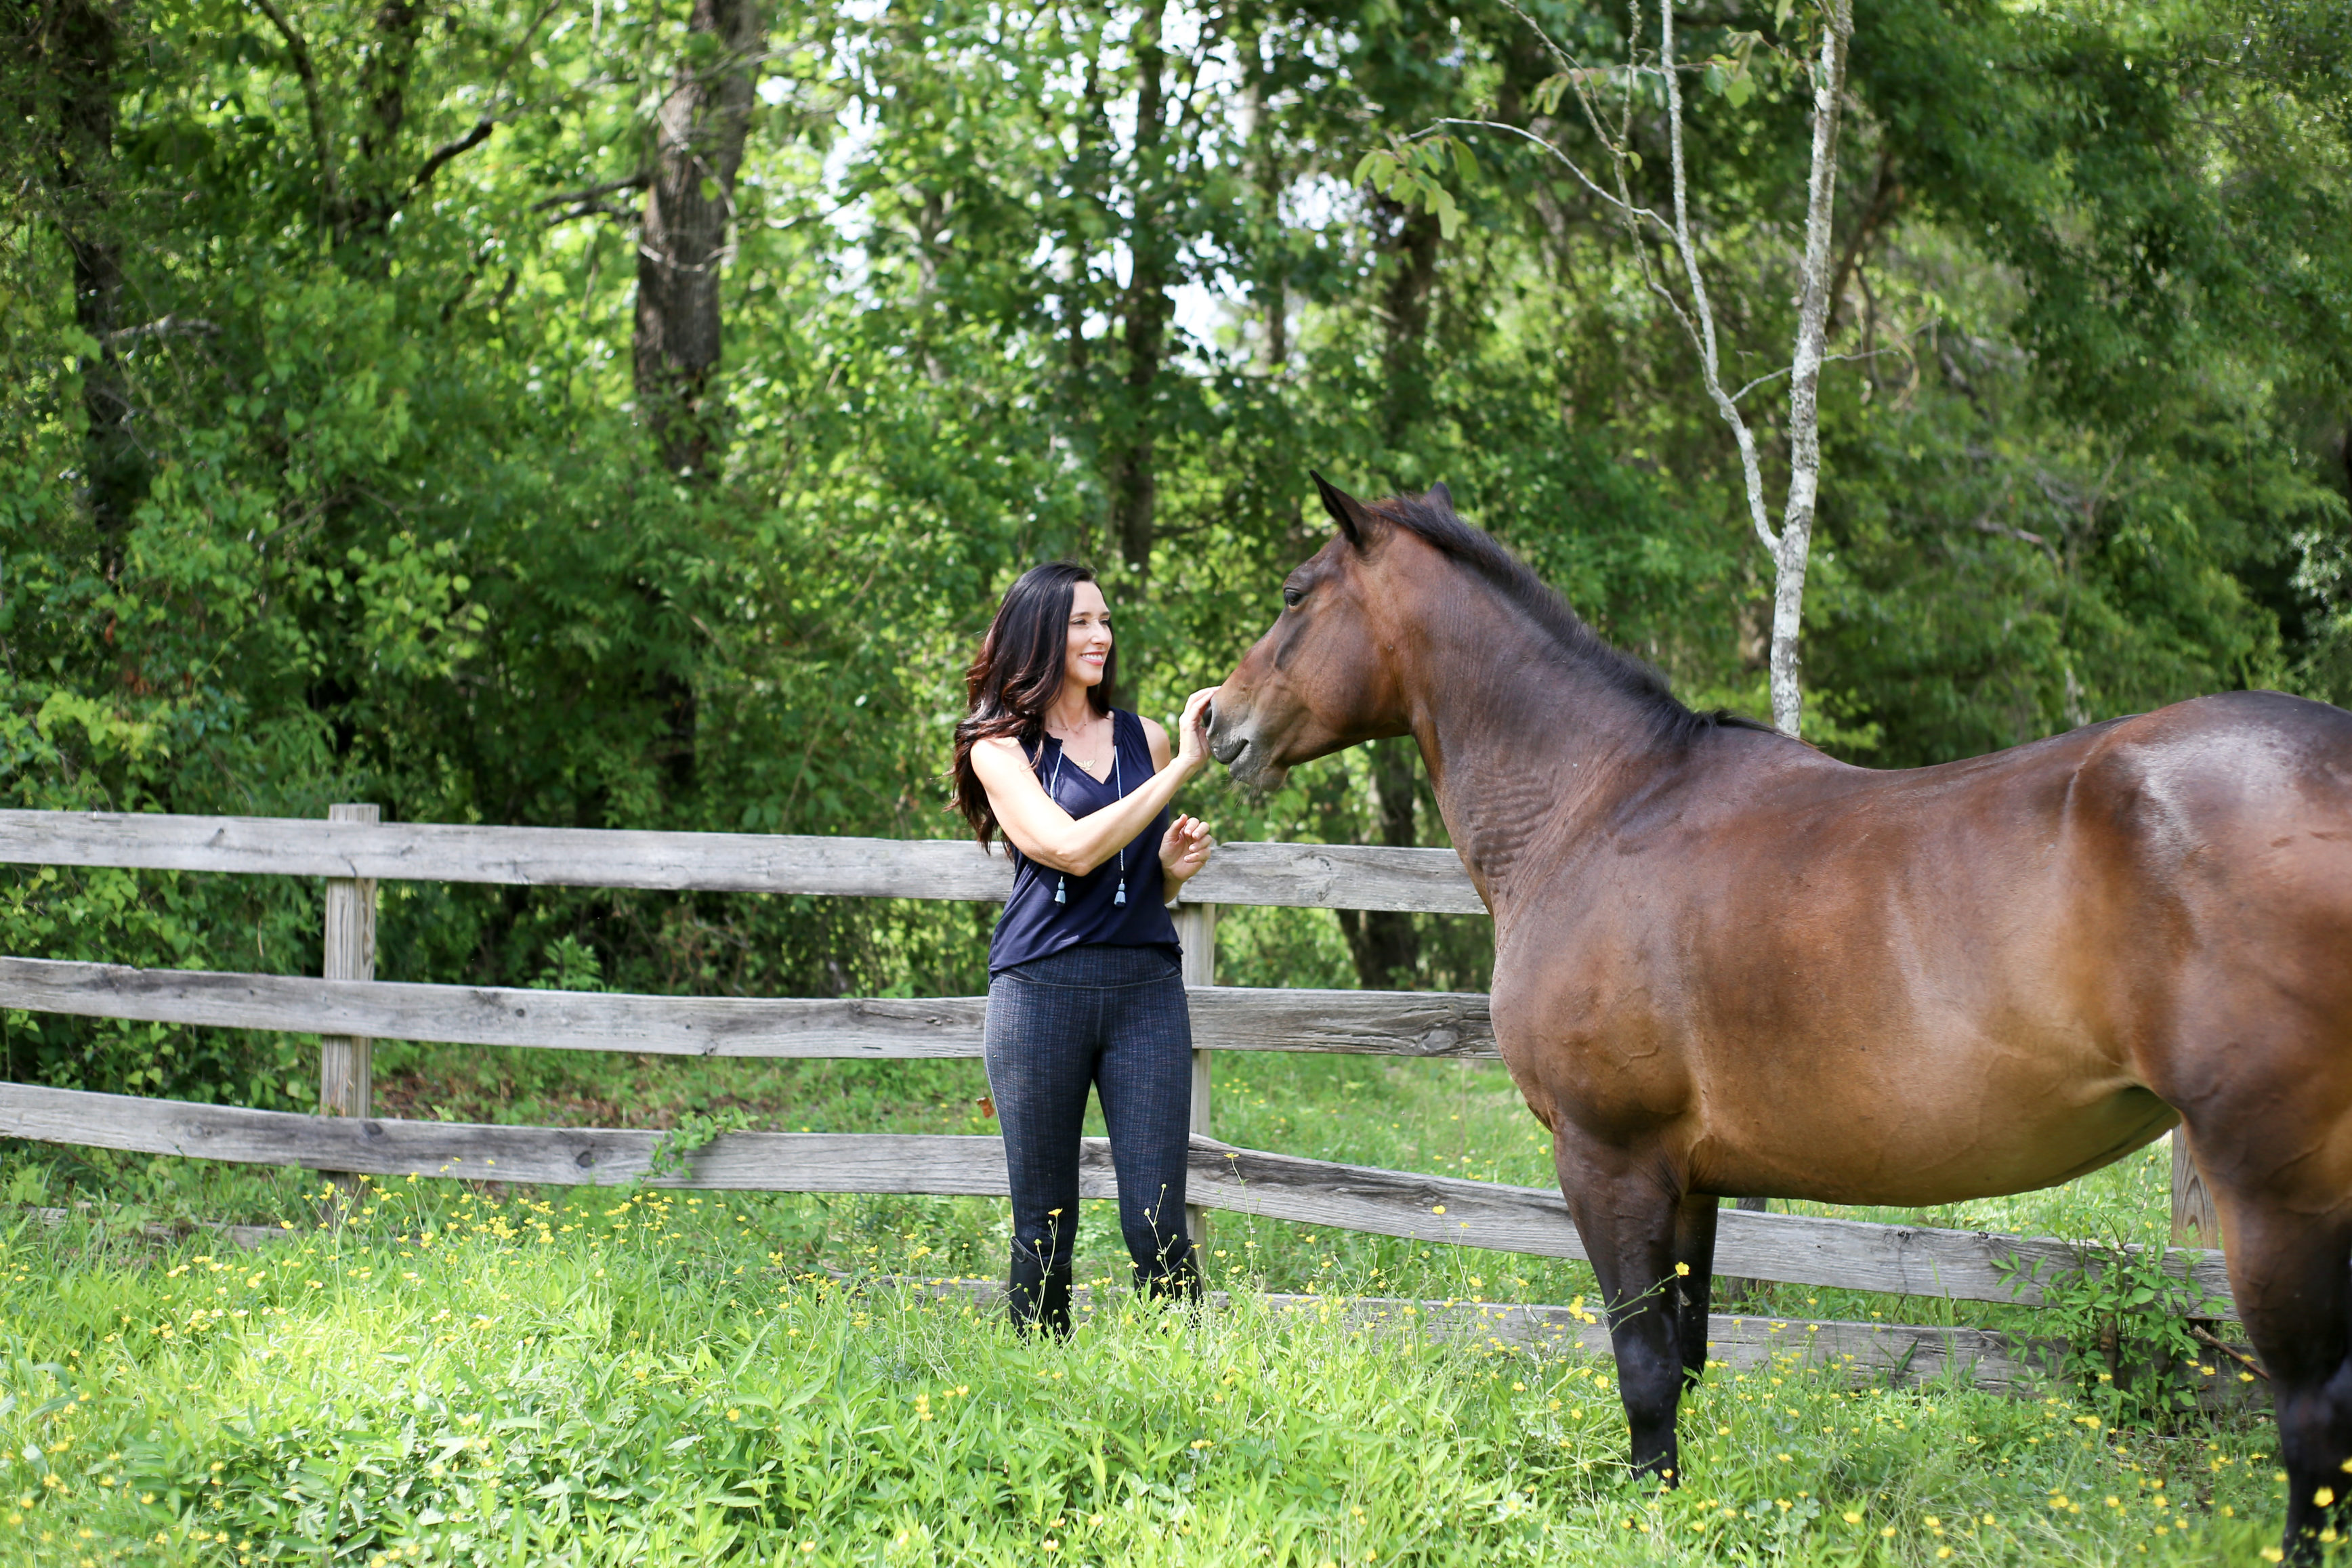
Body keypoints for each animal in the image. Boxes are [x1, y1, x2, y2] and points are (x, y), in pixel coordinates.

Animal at [1206, 473, 2352, 1555]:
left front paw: (1643, 1514)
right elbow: (1687, 1354)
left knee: (2312, 1417)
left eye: (1296, 593)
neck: (1599, 804)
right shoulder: (1690, 1176)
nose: (1216, 718)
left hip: (2274, 1192)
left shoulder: (1607, 1155)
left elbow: (1641, 1361)